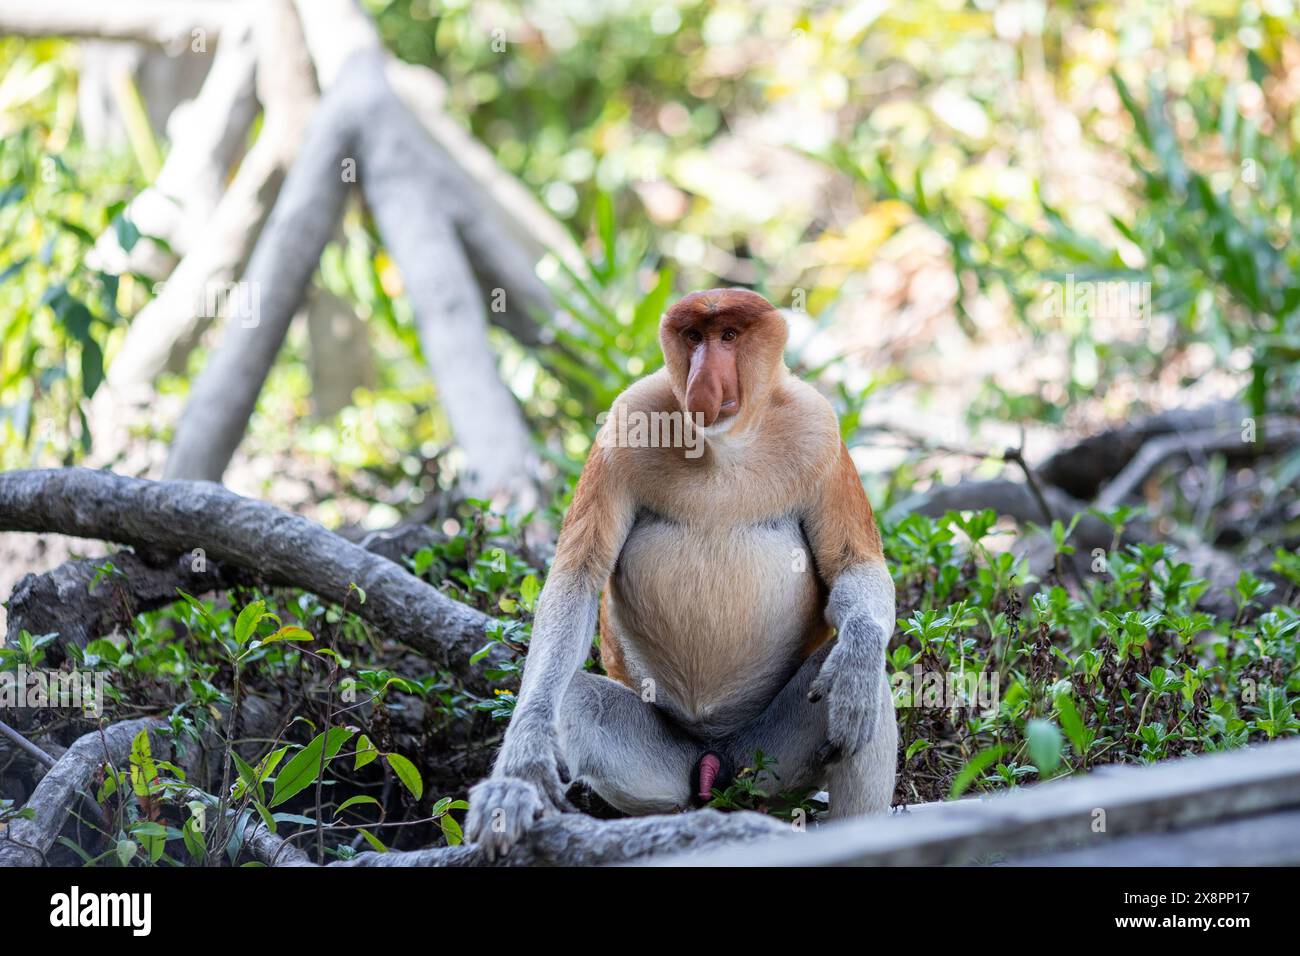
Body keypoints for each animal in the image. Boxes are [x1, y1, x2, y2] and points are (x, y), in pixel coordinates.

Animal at [465, 288, 896, 858]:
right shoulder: (624, 423)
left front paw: (859, 661)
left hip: (769, 761)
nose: (701, 381)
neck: (723, 445)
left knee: (865, 691)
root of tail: (714, 758)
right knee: (577, 701)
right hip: (666, 767)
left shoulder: (819, 432)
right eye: (693, 337)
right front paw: (519, 769)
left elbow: (854, 565)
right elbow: (577, 579)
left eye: (728, 336)